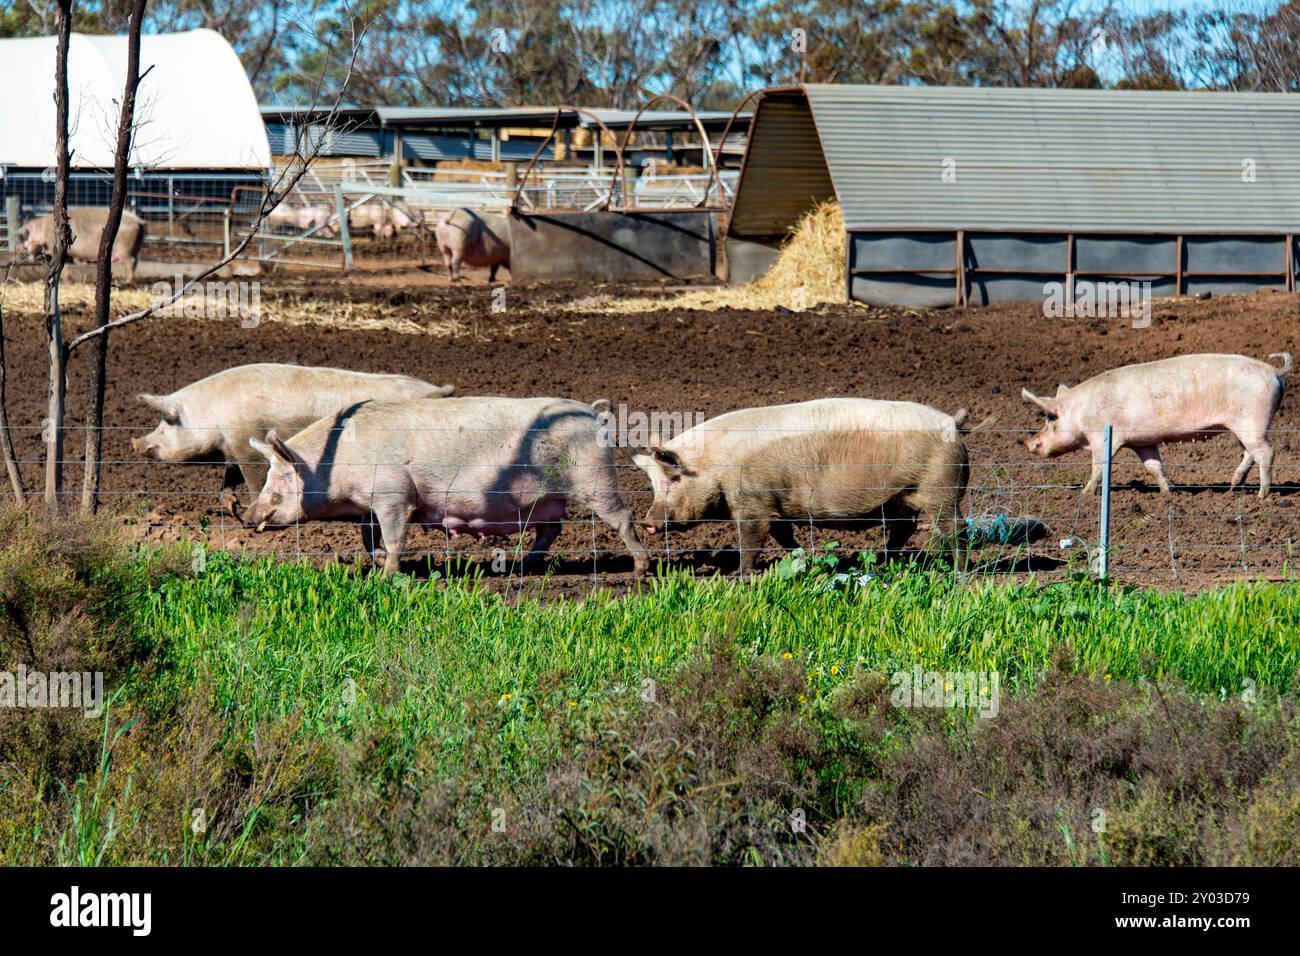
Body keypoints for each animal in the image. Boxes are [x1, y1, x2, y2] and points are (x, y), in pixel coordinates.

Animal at [18, 207, 147, 282]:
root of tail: (139, 221)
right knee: (135, 262)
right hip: (134, 247)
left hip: (124, 248)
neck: (43, 230)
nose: (20, 255)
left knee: (131, 262)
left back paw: (127, 281)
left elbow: (64, 264)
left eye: (24, 241)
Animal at [131, 364, 455, 513]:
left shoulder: (246, 443)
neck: (213, 414)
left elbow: (253, 479)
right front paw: (230, 508)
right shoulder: (232, 450)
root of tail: (440, 391)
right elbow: (227, 480)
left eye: (167, 421)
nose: (136, 444)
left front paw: (247, 510)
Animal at [243, 397, 648, 576]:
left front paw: (387, 576)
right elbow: (367, 537)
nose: (246, 516)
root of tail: (594, 414)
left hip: (595, 480)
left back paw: (640, 569)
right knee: (551, 529)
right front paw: (376, 565)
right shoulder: (369, 506)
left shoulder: (394, 497)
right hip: (546, 499)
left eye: (277, 485)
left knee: (623, 517)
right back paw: (522, 566)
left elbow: (395, 538)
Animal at [630, 398, 970, 574]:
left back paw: (960, 572)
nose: (647, 522)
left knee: (955, 529)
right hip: (901, 497)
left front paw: (741, 574)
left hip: (940, 490)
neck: (714, 464)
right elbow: (783, 536)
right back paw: (881, 561)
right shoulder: (775, 506)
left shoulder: (753, 503)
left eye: (671, 481)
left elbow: (751, 539)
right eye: (654, 484)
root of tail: (952, 424)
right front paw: (800, 559)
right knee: (903, 528)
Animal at [1022, 352, 1292, 497]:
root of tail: (1274, 371)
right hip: (1245, 426)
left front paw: (1085, 493)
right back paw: (1234, 486)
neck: (1082, 410)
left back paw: (1262, 495)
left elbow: (1099, 466)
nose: (1028, 443)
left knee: (1266, 452)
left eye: (1051, 419)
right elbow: (1153, 466)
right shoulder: (1143, 441)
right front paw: (1168, 492)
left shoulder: (1104, 438)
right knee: (1250, 452)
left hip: (1253, 419)